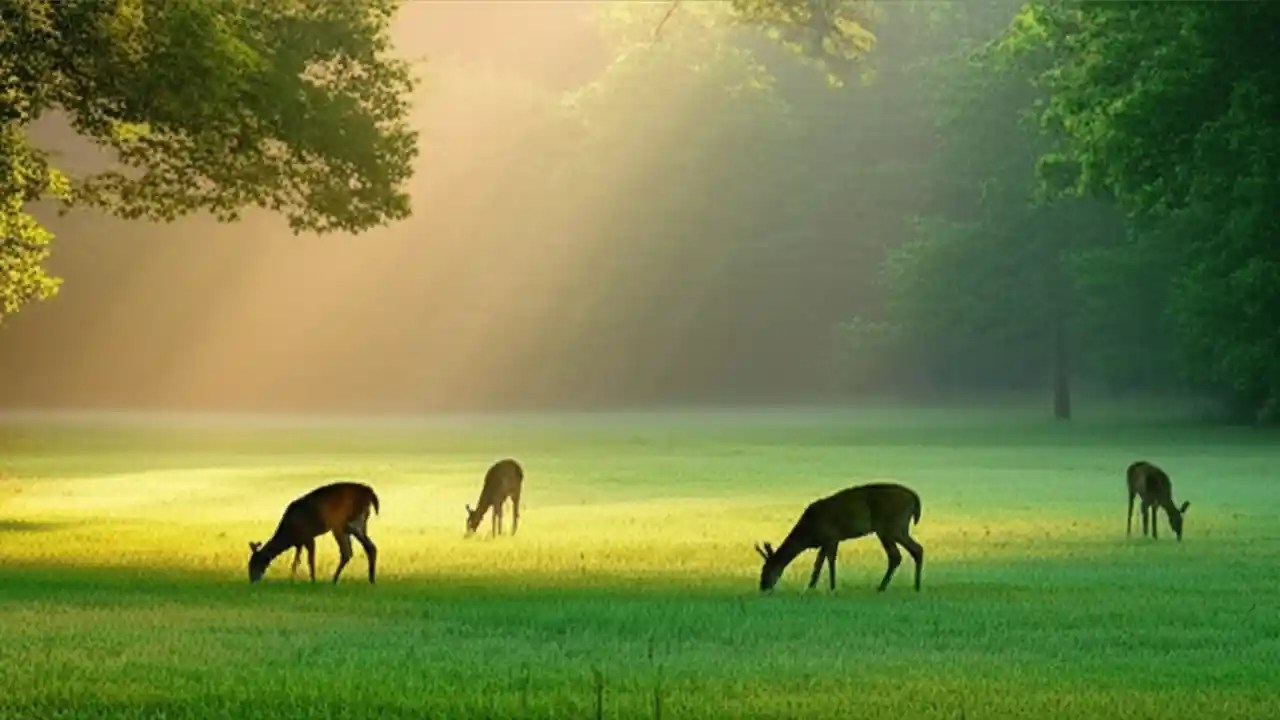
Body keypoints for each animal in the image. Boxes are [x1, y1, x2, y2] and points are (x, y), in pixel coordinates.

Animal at [248, 482, 380, 584]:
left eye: (255, 563)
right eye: (250, 563)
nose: (252, 580)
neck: (289, 535)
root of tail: (370, 494)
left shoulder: (308, 537)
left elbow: (310, 560)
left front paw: (312, 580)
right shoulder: (299, 542)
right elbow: (296, 561)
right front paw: (292, 579)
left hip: (343, 523)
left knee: (347, 551)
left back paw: (334, 580)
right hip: (358, 522)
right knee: (370, 547)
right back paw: (371, 580)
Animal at [755, 482, 923, 593]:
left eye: (766, 570)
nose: (763, 587)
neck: (808, 535)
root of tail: (915, 499)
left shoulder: (830, 536)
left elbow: (827, 561)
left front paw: (826, 586)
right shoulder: (828, 540)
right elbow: (822, 561)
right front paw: (816, 586)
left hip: (892, 526)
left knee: (904, 553)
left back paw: (887, 587)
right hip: (891, 529)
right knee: (906, 552)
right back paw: (914, 586)